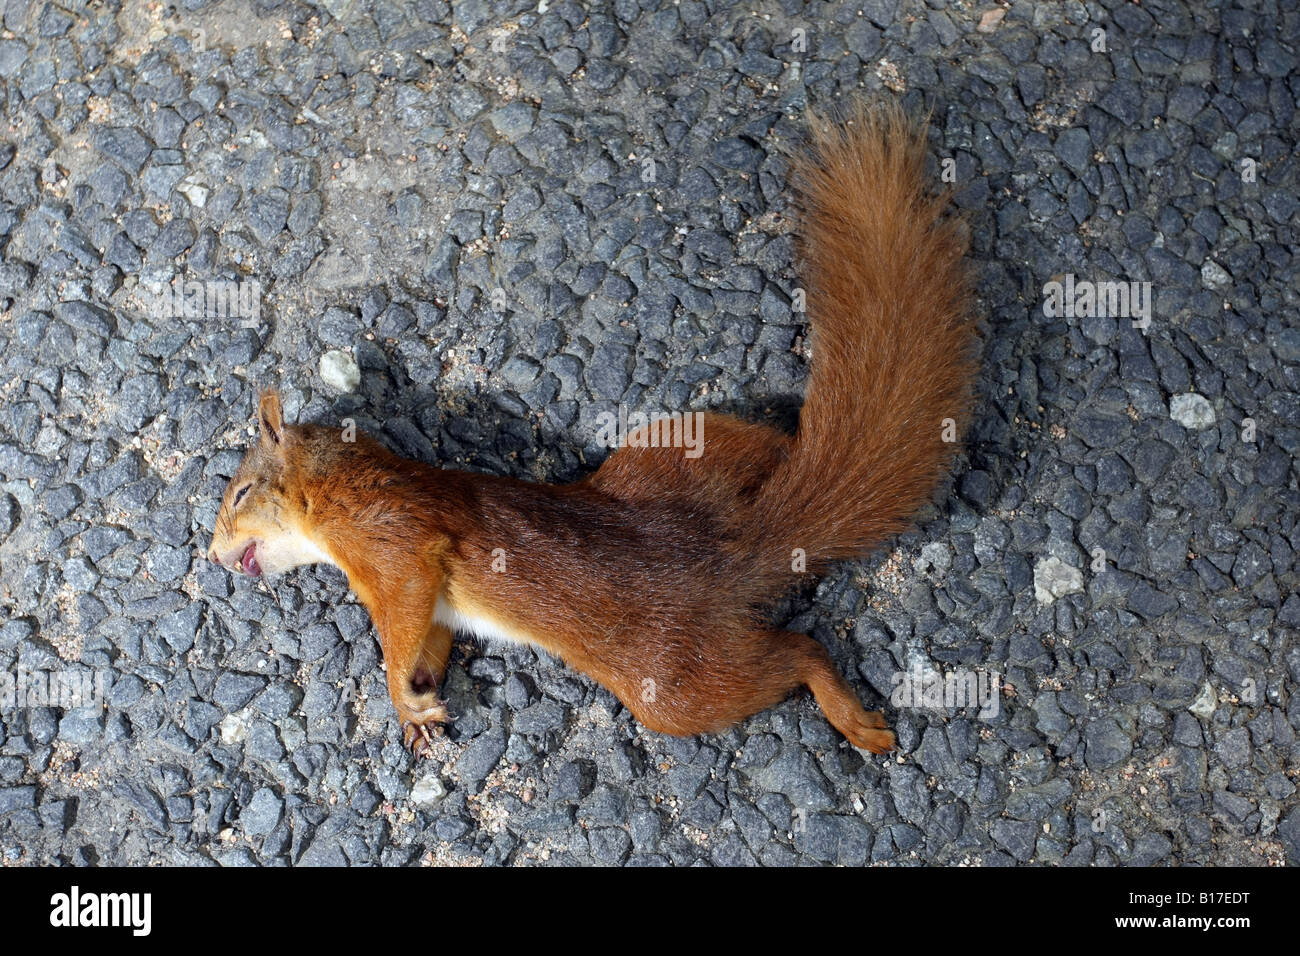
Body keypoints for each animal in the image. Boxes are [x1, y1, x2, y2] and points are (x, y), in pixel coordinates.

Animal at [208, 104, 976, 759]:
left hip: (674, 684)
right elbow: (430, 640)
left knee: (799, 652)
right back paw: (782, 432)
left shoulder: (391, 542)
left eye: (239, 495)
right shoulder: (428, 600)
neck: (340, 487)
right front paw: (423, 701)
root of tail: (732, 550)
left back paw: (856, 720)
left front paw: (402, 698)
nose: (213, 557)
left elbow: (402, 623)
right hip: (675, 449)